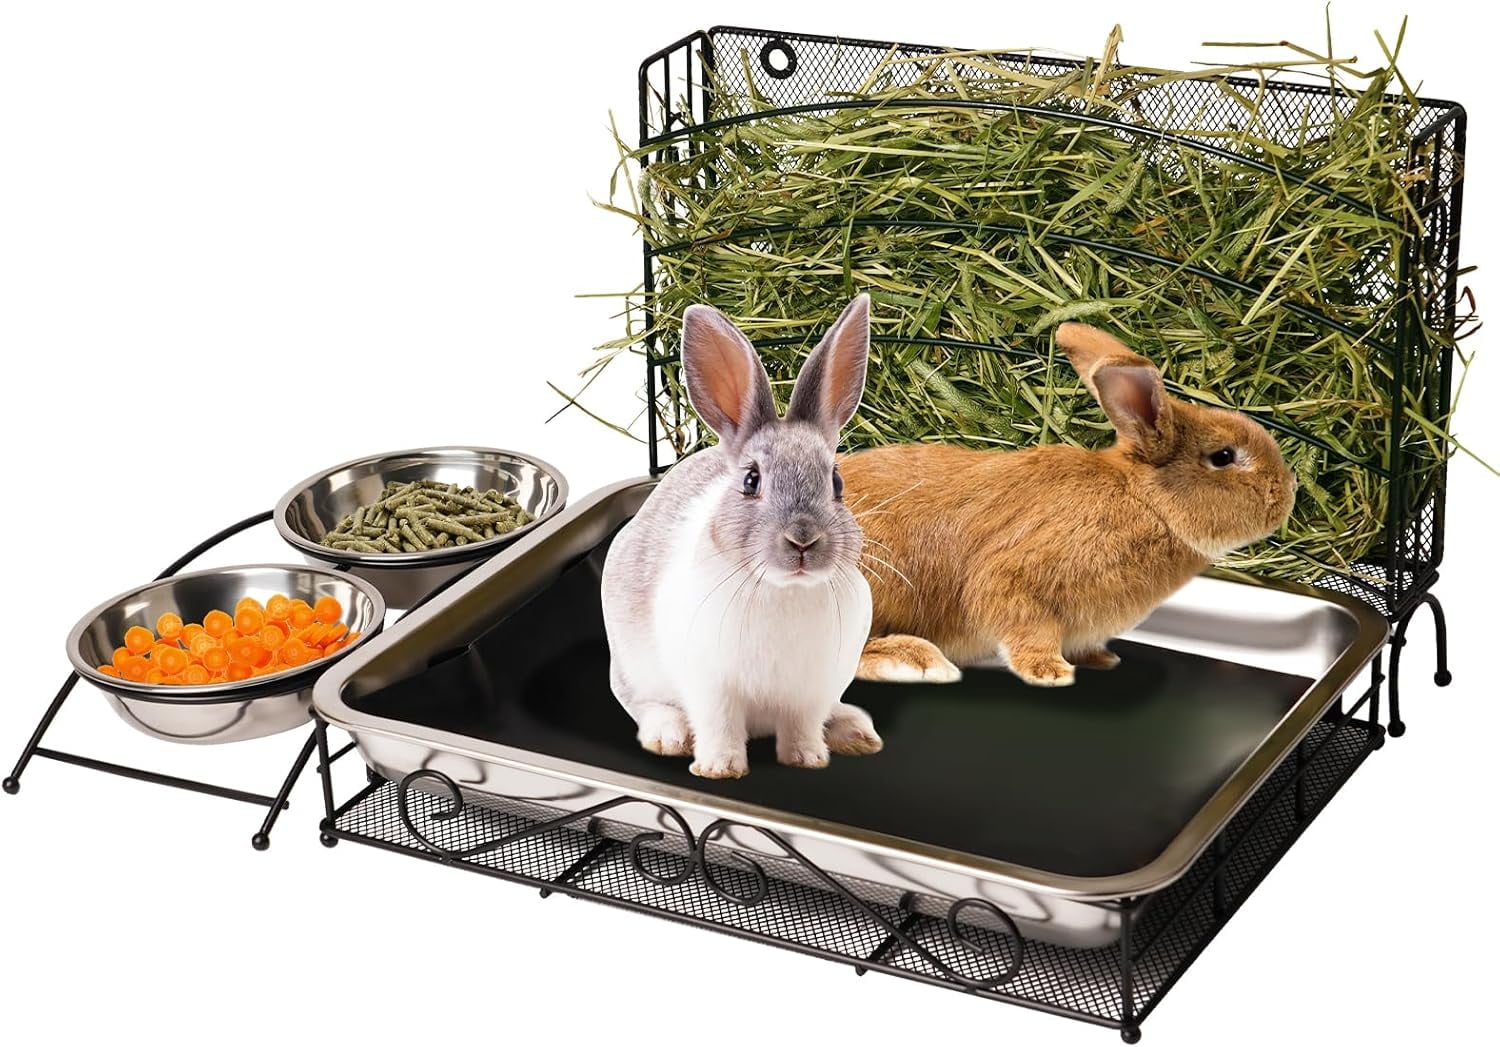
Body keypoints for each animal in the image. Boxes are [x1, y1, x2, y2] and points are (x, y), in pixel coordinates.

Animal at [601, 295, 881, 778]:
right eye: (751, 481)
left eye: (836, 482)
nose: (803, 540)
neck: (784, 590)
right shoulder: (711, 687)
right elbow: (720, 726)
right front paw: (720, 769)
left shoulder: (810, 692)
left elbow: (802, 726)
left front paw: (807, 760)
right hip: (633, 668)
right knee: (644, 704)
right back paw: (668, 736)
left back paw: (855, 733)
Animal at [842, 321, 1297, 688]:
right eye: (1223, 456)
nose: (1287, 492)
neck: (1145, 504)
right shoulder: (1016, 578)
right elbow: (1026, 626)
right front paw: (1051, 674)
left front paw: (1101, 659)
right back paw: (917, 662)